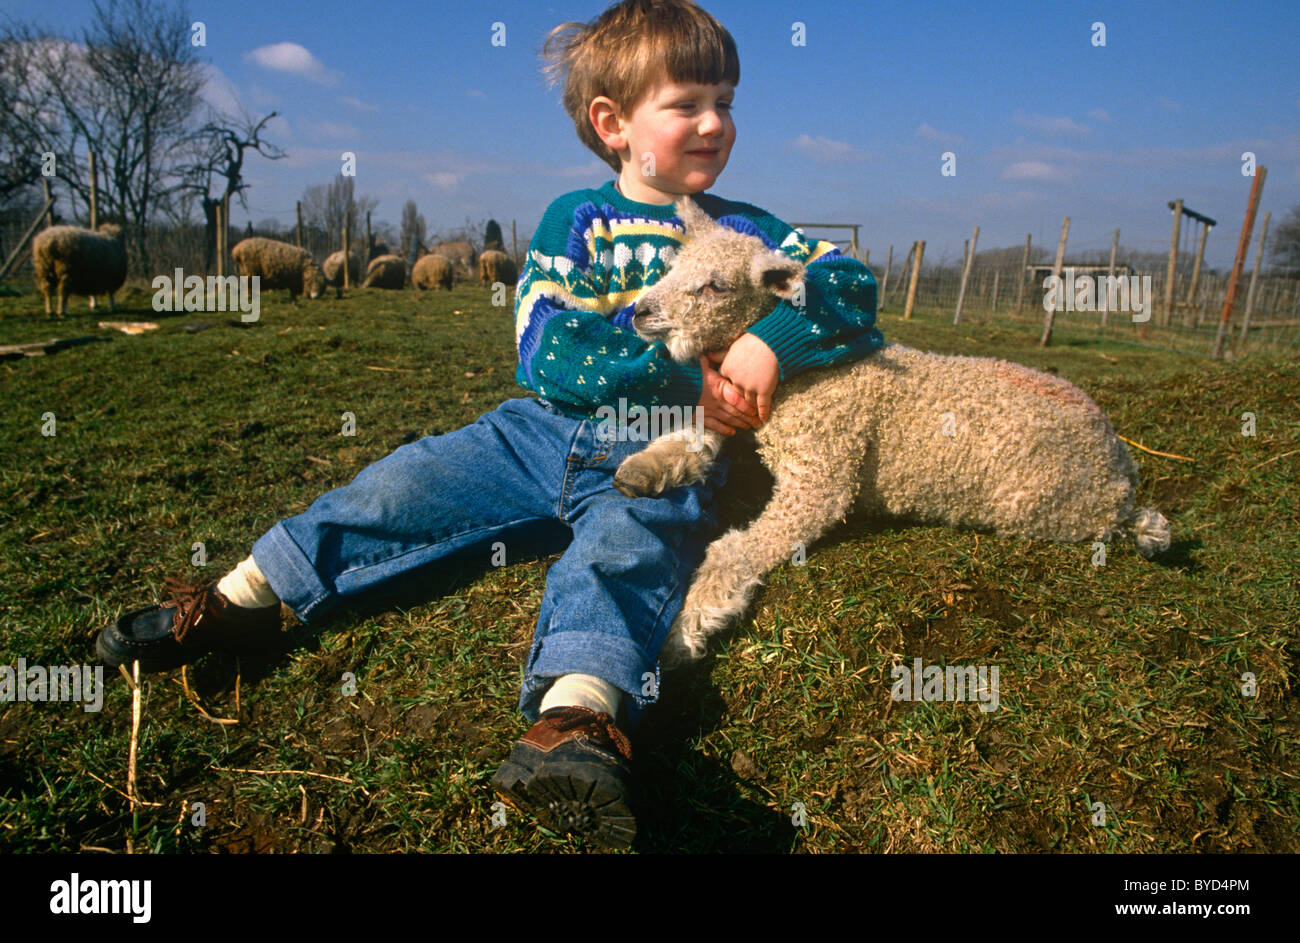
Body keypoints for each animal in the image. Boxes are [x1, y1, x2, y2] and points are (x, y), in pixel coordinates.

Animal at [615, 196, 1171, 665]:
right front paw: (642, 470)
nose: (640, 313)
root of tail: (1118, 453)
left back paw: (1151, 532)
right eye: (671, 269)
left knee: (1116, 520)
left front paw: (687, 627)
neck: (799, 378)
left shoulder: (823, 474)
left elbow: (732, 550)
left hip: (1051, 503)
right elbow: (691, 438)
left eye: (716, 286)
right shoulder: (739, 410)